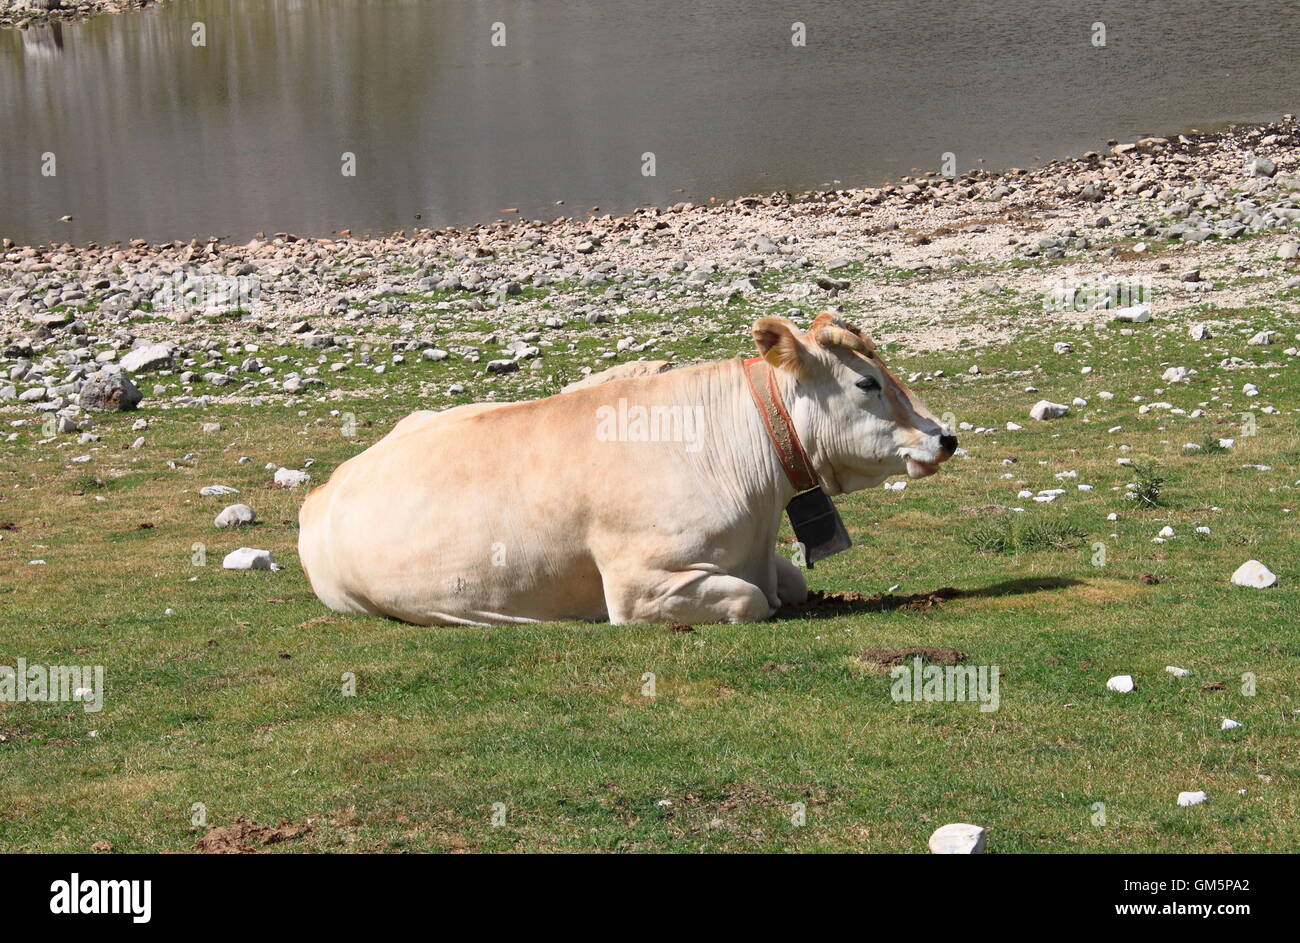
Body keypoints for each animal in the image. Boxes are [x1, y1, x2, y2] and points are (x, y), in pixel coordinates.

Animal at [297, 312, 956, 626]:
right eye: (866, 382)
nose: (946, 436)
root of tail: (324, 489)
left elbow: (788, 583)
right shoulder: (640, 584)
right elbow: (751, 600)